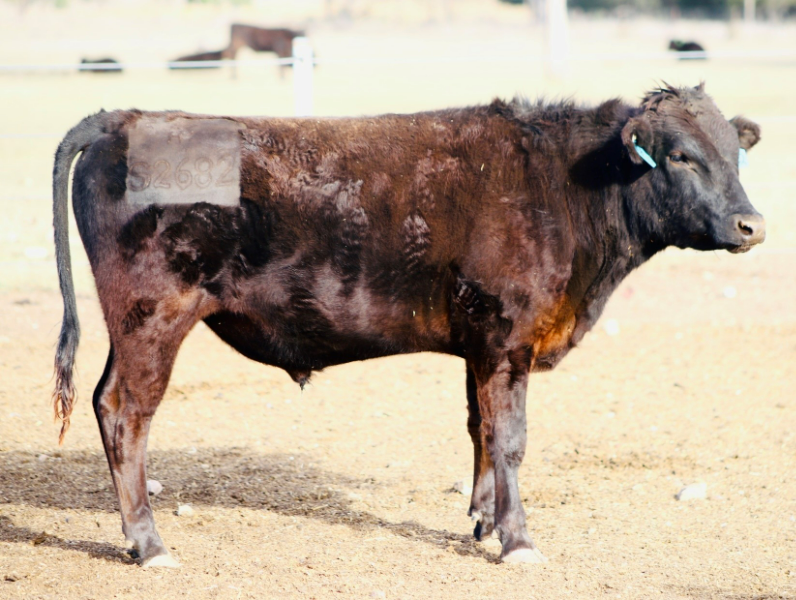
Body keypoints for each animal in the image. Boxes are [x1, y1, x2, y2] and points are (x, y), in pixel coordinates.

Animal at [51, 83, 764, 568]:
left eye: (735, 153)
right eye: (680, 156)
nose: (751, 225)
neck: (564, 187)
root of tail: (125, 118)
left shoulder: (480, 346)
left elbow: (480, 429)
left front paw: (482, 521)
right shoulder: (507, 338)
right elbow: (510, 438)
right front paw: (517, 539)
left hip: (129, 327)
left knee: (105, 403)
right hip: (154, 317)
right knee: (127, 412)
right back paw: (149, 543)